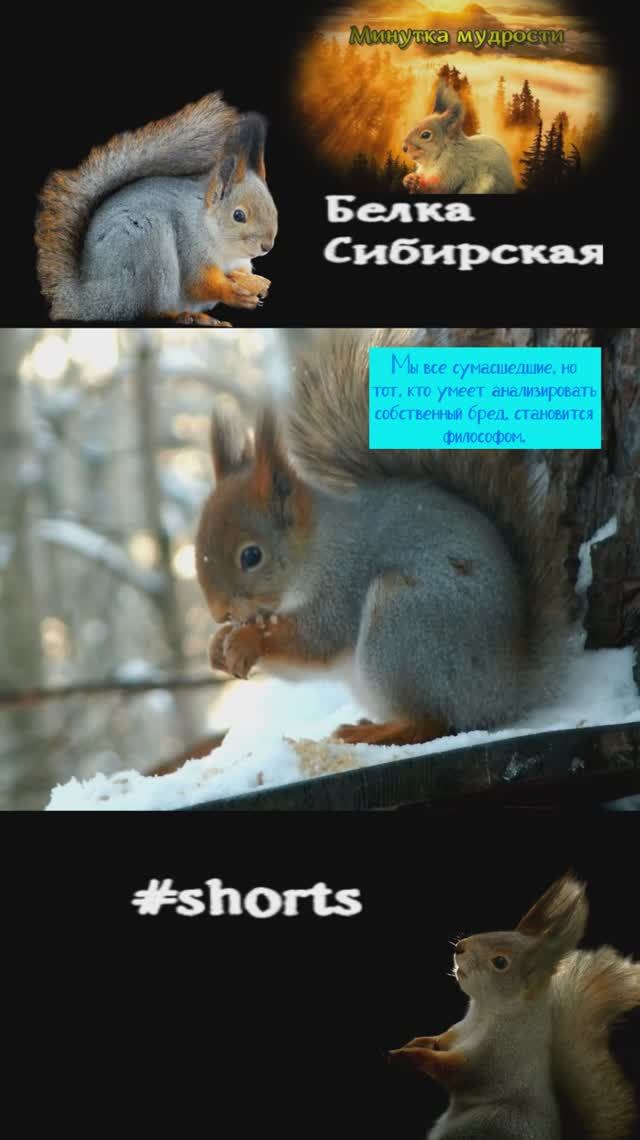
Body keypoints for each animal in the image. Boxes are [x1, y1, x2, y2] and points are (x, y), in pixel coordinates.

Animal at [34, 93, 278, 324]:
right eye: (238, 215)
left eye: (274, 211)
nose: (266, 247)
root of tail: (87, 299)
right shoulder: (192, 247)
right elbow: (198, 283)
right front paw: (235, 295)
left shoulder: (238, 263)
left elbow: (238, 274)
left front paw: (256, 284)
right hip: (149, 248)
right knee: (151, 309)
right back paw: (185, 316)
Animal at [194, 327, 570, 748]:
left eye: (251, 556)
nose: (219, 613)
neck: (316, 549)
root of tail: (509, 689)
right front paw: (218, 644)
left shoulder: (342, 584)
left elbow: (315, 641)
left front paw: (247, 640)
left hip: (402, 622)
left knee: (431, 722)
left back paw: (370, 733)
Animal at [389, 874, 640, 1140]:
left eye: (500, 962)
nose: (459, 947)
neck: (486, 1012)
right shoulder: (460, 1030)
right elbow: (441, 1040)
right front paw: (417, 1042)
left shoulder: (497, 1055)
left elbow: (456, 1071)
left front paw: (409, 1054)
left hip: (488, 1123)